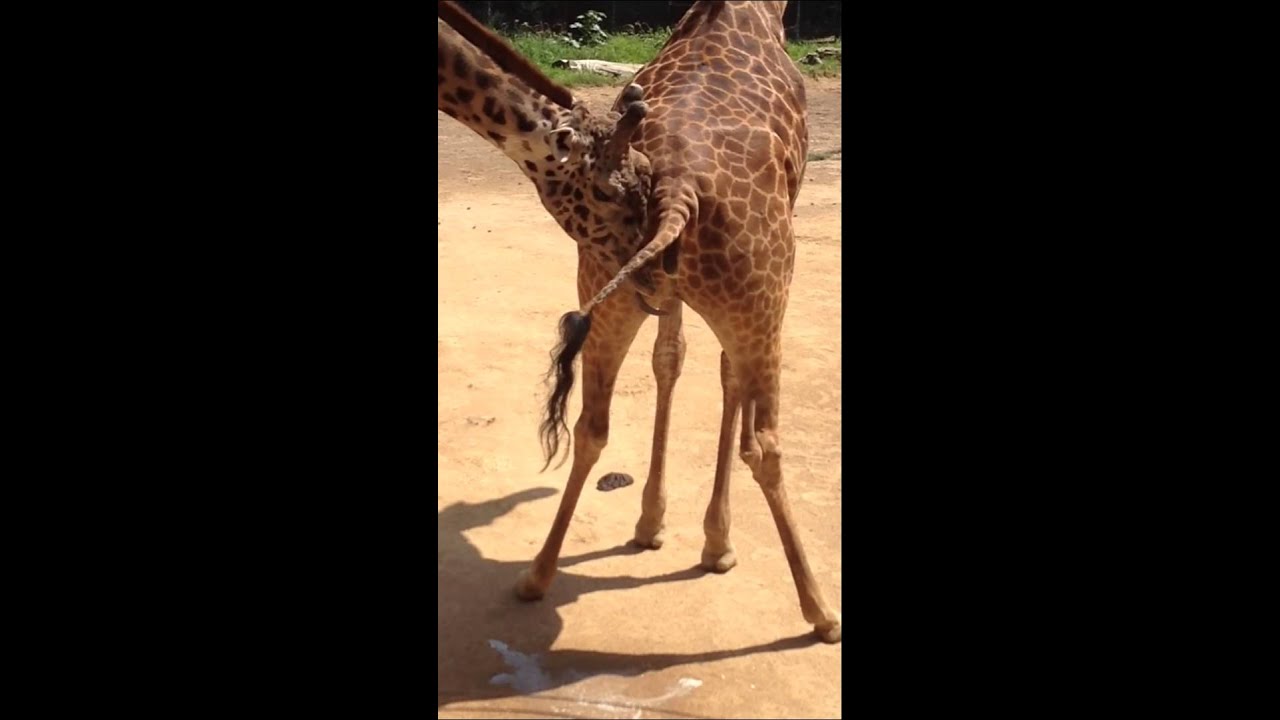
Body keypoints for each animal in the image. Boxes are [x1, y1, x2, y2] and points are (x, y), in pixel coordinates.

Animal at [515, 0, 843, 644]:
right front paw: (716, 543)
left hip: (606, 289)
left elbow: (670, 358)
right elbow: (724, 376)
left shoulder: (664, 287)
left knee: (592, 424)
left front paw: (653, 523)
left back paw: (537, 574)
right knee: (768, 445)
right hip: (765, 291)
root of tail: (678, 188)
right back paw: (820, 610)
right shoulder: (751, 296)